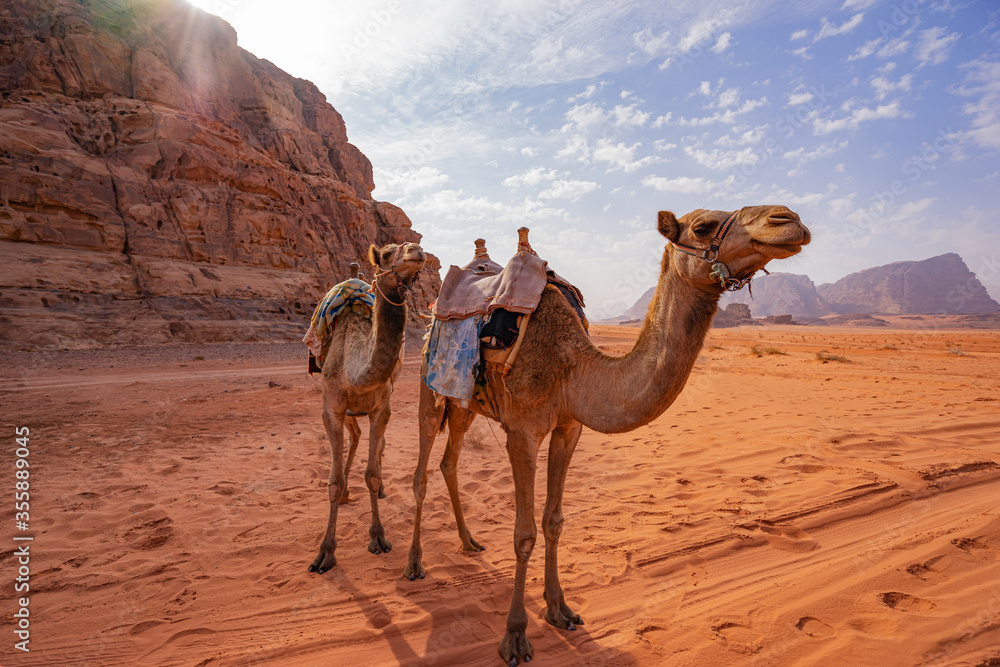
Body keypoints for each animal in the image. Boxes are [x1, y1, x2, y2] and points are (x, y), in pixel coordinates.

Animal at [308, 241, 426, 574]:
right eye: (386, 254)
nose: (417, 250)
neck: (355, 370)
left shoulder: (381, 409)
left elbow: (371, 474)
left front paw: (378, 537)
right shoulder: (331, 410)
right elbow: (333, 482)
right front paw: (325, 553)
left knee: (372, 443)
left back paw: (382, 487)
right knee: (355, 437)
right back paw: (347, 491)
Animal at [404, 206, 810, 665]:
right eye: (702, 226)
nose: (788, 219)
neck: (571, 365)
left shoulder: (569, 429)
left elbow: (553, 521)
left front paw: (560, 610)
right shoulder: (522, 432)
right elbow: (524, 534)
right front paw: (515, 637)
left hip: (463, 404)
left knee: (449, 461)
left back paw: (469, 541)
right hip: (429, 383)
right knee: (421, 470)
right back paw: (414, 563)